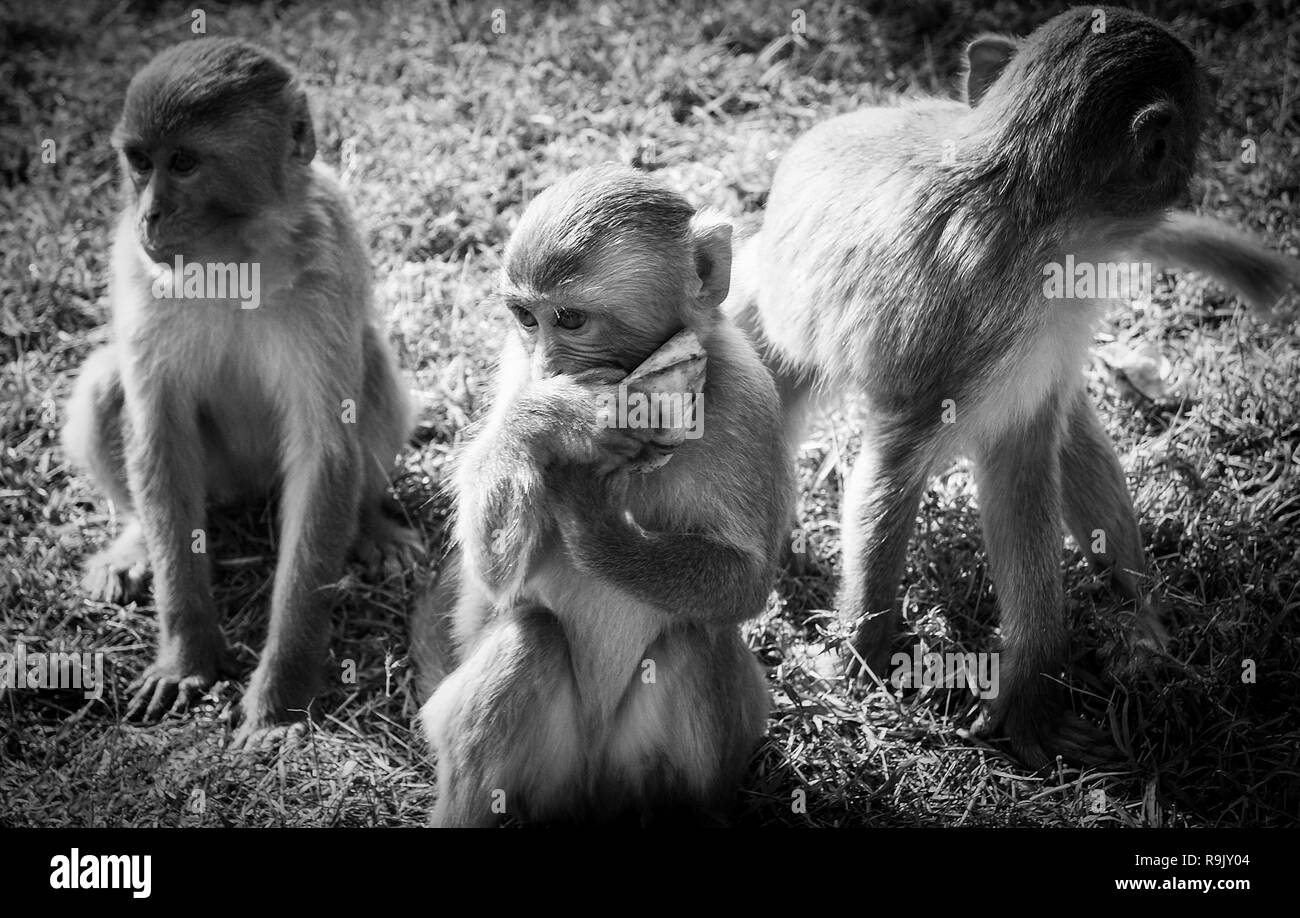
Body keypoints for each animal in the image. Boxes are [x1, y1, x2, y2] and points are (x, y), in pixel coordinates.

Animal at [60, 38, 417, 750]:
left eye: (184, 162)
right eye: (140, 162)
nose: (149, 215)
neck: (233, 254)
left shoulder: (329, 255)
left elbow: (325, 449)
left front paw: (280, 696)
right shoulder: (134, 266)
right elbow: (160, 431)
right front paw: (188, 656)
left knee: (369, 365)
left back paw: (371, 524)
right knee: (110, 383)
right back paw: (134, 542)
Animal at [410, 165, 793, 826]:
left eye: (569, 319)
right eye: (527, 318)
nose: (547, 363)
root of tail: (588, 796)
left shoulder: (747, 396)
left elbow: (746, 581)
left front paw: (595, 527)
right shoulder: (514, 371)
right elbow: (492, 578)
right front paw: (554, 414)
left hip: (628, 771)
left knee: (694, 639)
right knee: (529, 637)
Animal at [726, 6, 1299, 768]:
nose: (1189, 175)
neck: (1024, 204)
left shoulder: (1037, 334)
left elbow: (1022, 466)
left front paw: (1031, 686)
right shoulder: (975, 326)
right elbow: (897, 469)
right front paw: (865, 664)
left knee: (1069, 429)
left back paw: (1141, 611)